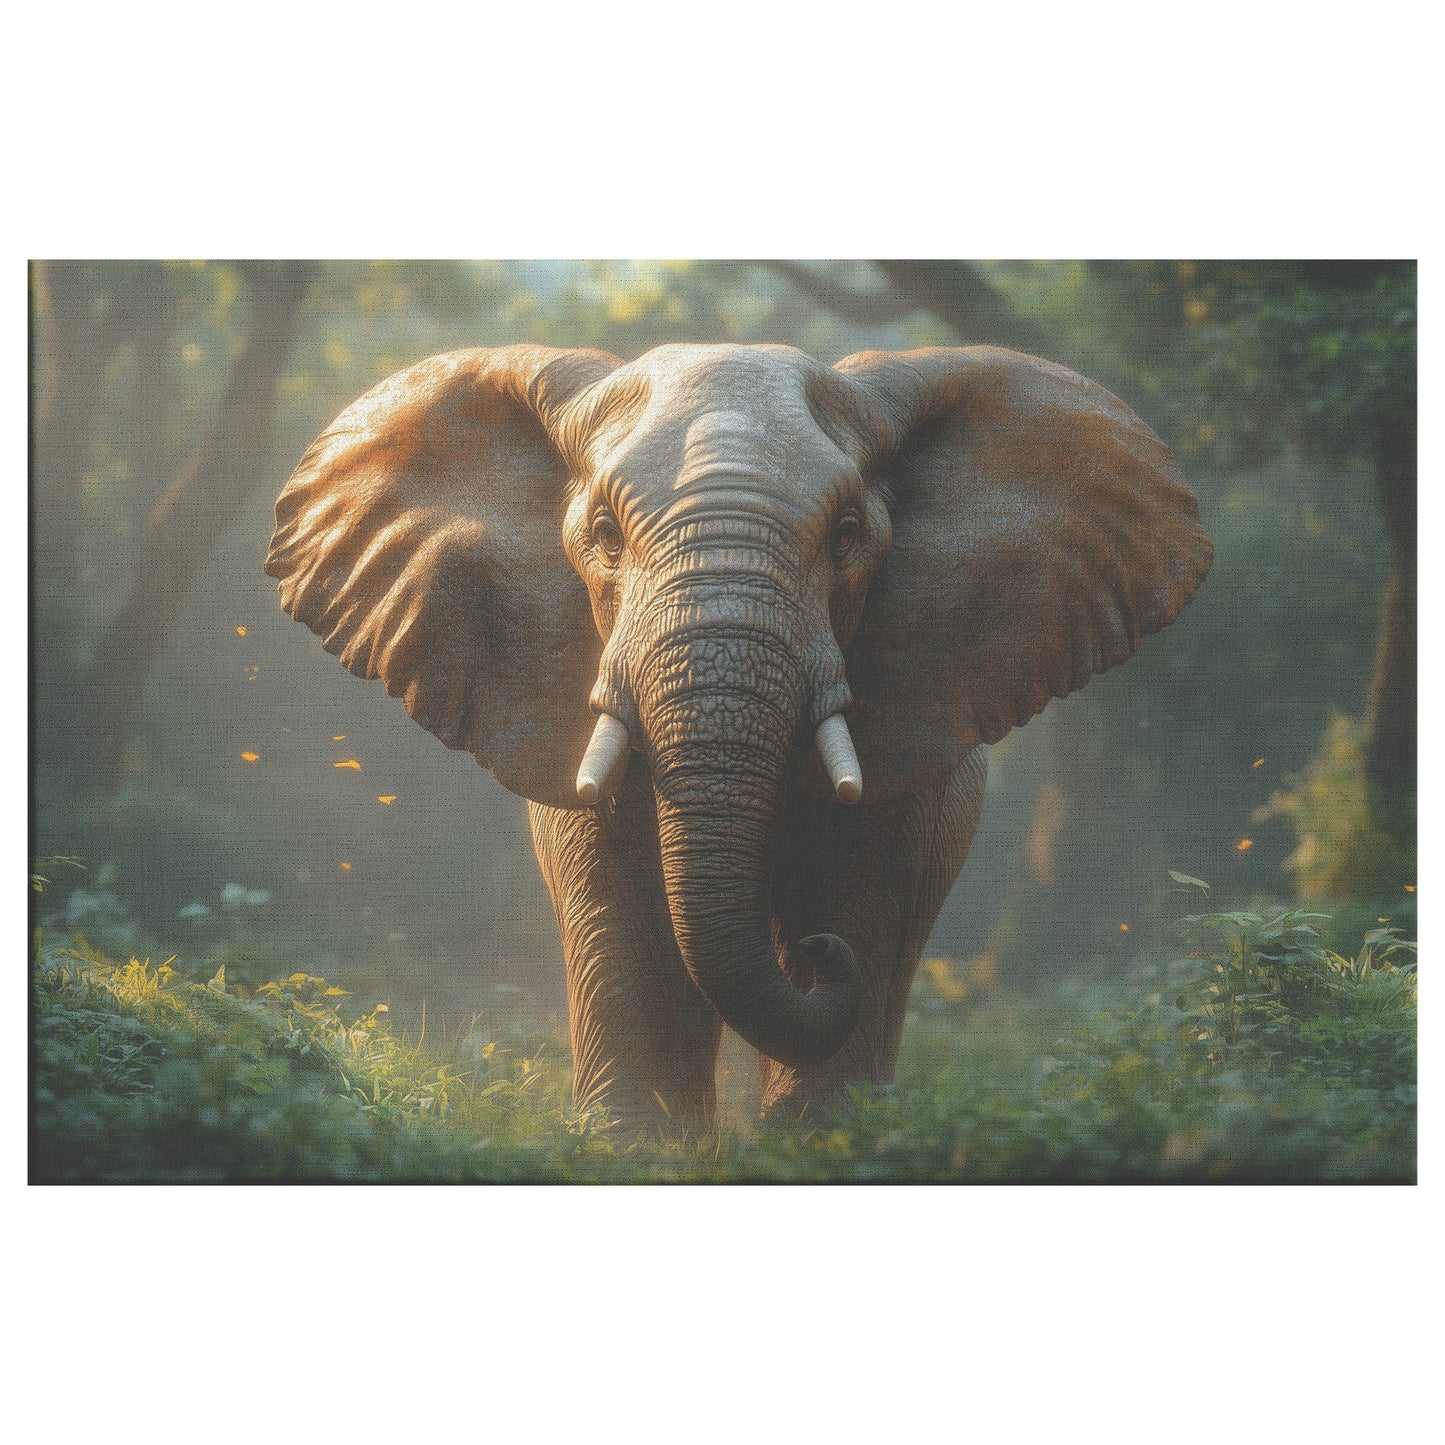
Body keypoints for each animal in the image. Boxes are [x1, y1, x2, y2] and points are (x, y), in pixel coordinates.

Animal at [265, 341, 1212, 1131]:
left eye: (846, 538)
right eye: (604, 536)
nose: (822, 961)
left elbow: (864, 894)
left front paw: (821, 1144)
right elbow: (628, 918)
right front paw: (637, 1153)